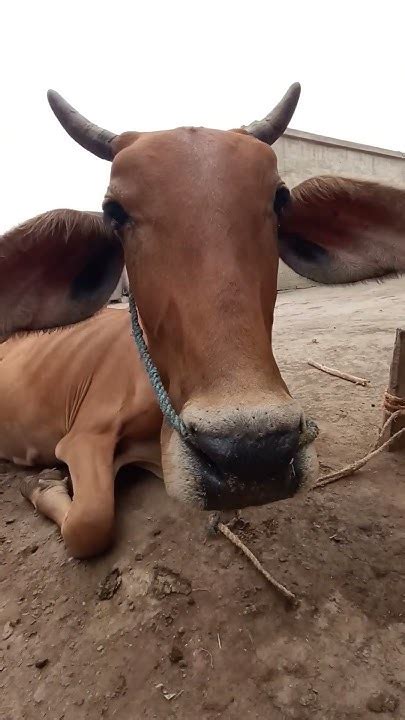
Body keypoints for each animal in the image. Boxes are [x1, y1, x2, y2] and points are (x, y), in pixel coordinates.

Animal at [0, 84, 402, 559]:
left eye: (280, 199)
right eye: (113, 211)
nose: (253, 451)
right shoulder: (84, 435)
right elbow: (89, 524)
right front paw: (41, 483)